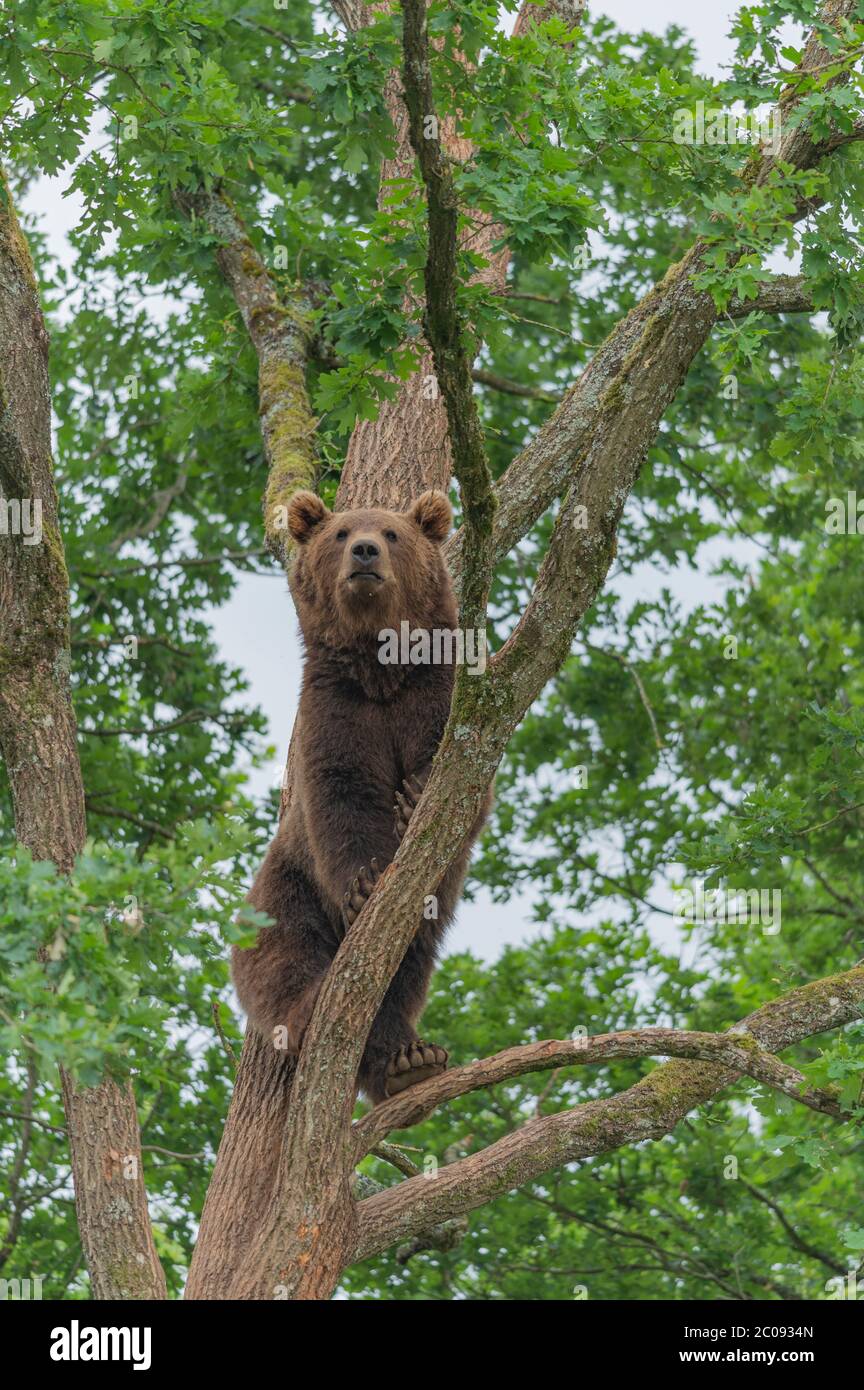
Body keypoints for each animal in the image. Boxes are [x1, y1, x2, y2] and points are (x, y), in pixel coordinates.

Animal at [232, 488, 492, 1103]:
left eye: (392, 533)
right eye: (340, 532)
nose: (366, 551)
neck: (380, 667)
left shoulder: (441, 690)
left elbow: (466, 782)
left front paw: (414, 796)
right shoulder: (335, 708)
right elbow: (340, 796)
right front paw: (365, 883)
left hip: (426, 921)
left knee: (405, 975)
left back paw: (408, 1059)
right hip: (284, 885)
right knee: (282, 956)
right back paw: (311, 1017)